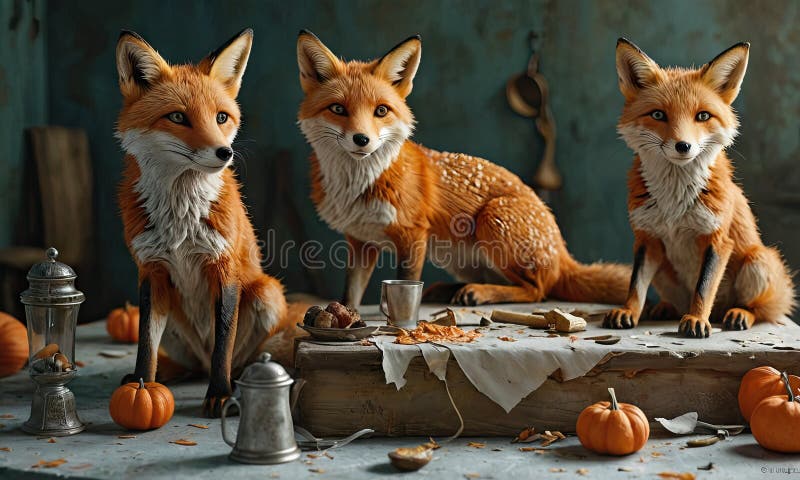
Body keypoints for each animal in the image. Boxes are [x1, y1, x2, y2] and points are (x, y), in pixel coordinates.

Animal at [115, 29, 292, 417]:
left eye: (221, 118)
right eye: (178, 117)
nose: (225, 153)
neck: (180, 219)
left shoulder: (223, 268)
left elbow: (222, 345)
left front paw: (221, 393)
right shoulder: (152, 272)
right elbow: (145, 344)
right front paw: (141, 384)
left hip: (266, 293)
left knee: (231, 359)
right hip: (170, 314)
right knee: (190, 363)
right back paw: (164, 374)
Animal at [296, 30, 630, 307]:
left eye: (381, 110)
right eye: (338, 109)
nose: (362, 140)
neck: (358, 185)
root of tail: (562, 251)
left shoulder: (413, 235)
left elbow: (405, 284)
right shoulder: (360, 241)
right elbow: (350, 295)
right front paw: (347, 319)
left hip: (493, 220)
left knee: (538, 291)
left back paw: (480, 293)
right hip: (458, 257)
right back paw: (450, 290)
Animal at [604, 38, 795, 337]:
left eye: (703, 116)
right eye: (658, 114)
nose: (683, 146)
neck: (674, 201)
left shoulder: (717, 239)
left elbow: (704, 287)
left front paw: (695, 319)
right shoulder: (647, 239)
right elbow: (635, 286)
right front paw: (628, 311)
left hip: (757, 263)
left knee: (760, 310)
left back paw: (737, 314)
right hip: (663, 271)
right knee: (674, 299)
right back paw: (666, 309)